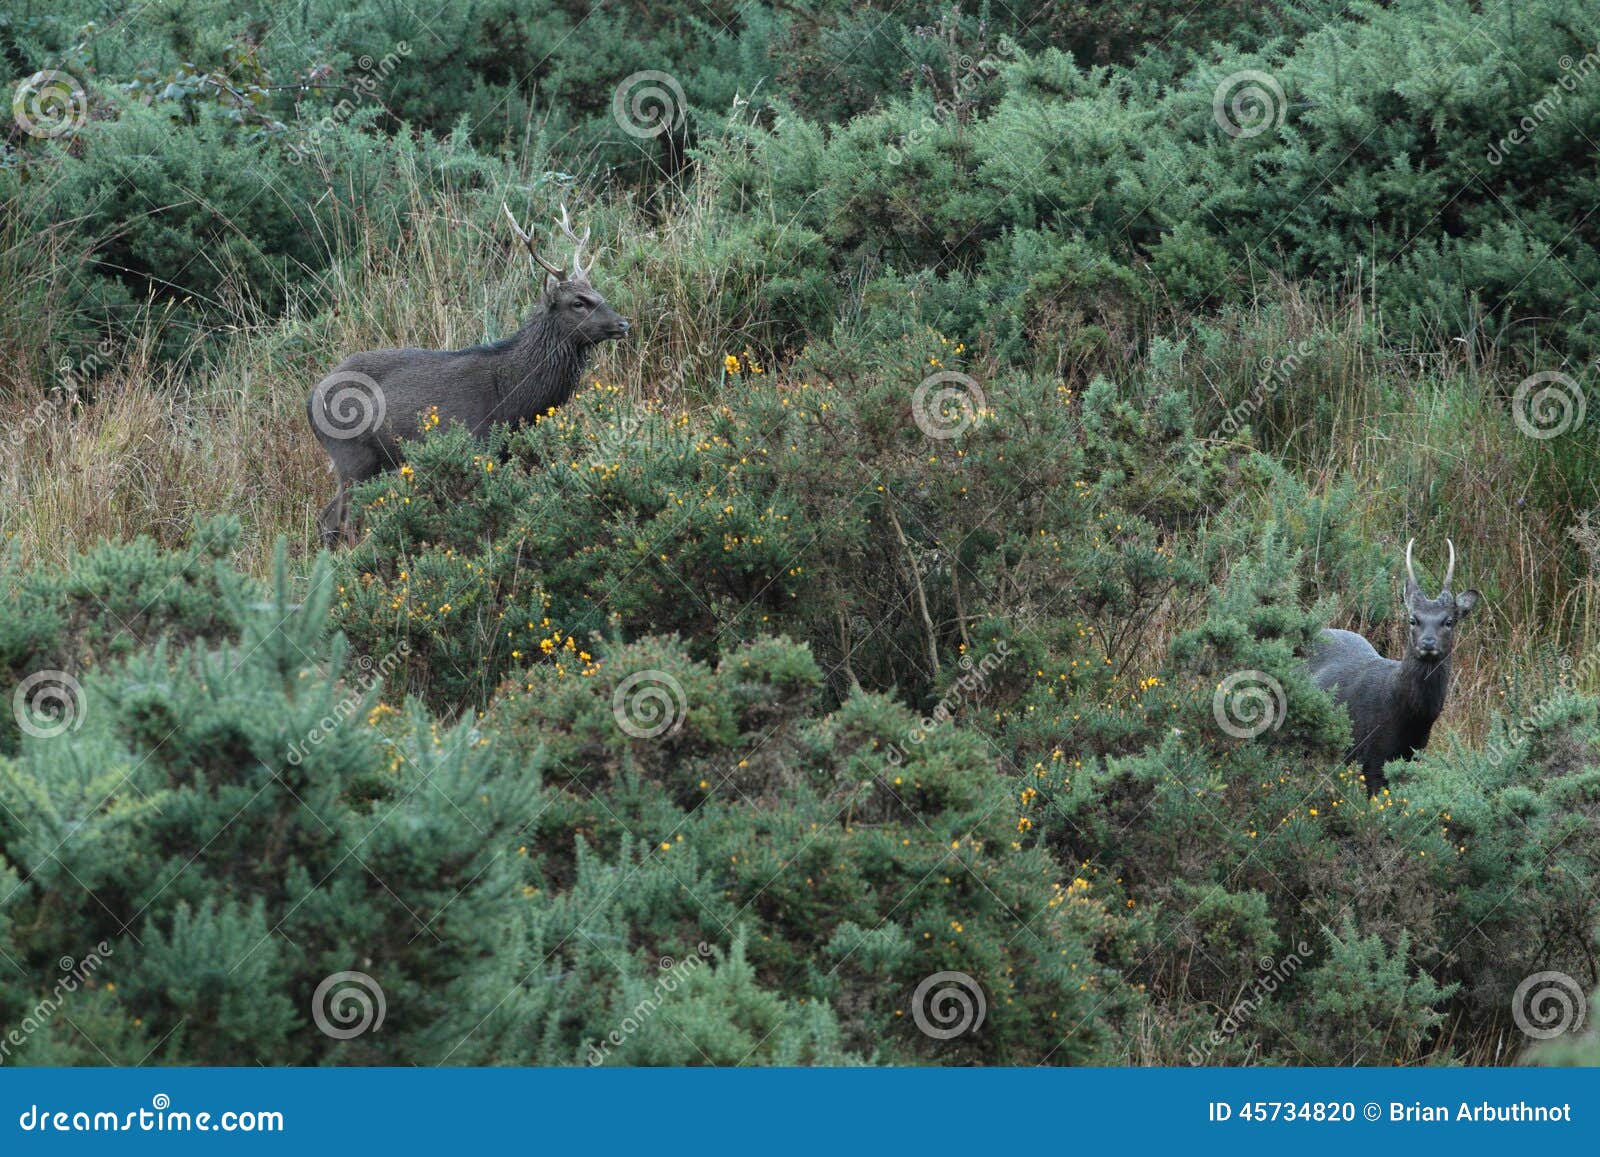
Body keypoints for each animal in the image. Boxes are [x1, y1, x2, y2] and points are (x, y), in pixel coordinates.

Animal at [308, 202, 630, 546]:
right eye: (578, 302)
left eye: (598, 292)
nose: (623, 324)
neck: (512, 396)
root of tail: (309, 400)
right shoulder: (473, 444)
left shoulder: (500, 452)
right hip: (351, 455)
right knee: (338, 519)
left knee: (328, 517)